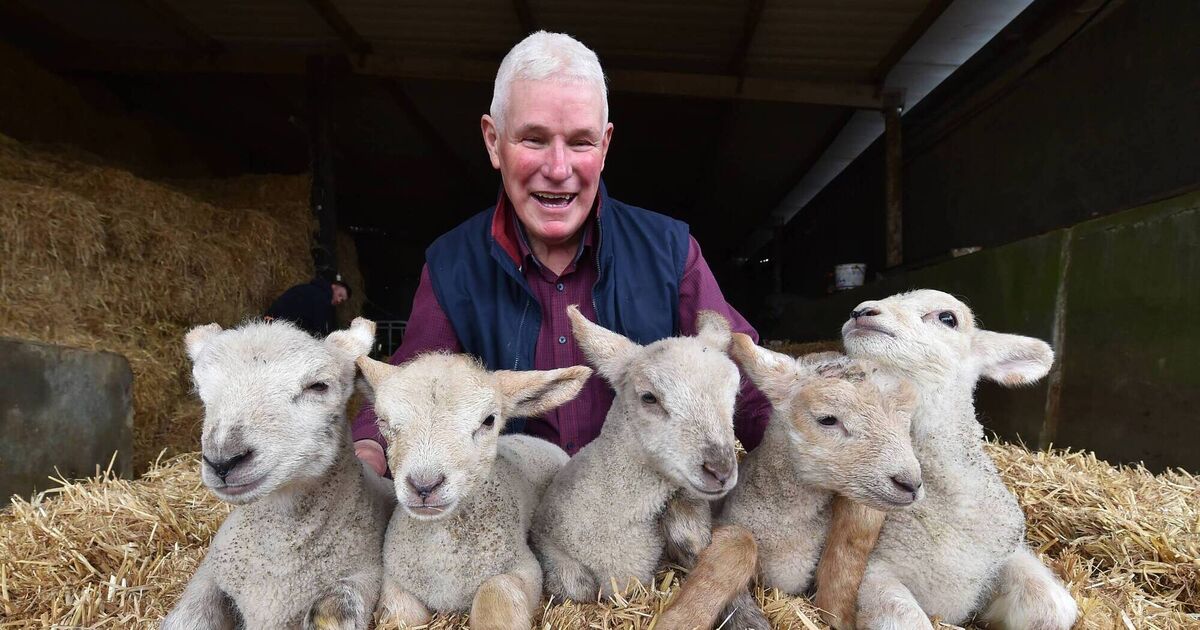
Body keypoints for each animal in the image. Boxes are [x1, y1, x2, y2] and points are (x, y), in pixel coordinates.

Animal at [162, 318, 394, 630]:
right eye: (200, 388)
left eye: (318, 386)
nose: (222, 462)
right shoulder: (209, 574)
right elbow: (188, 617)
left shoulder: (365, 573)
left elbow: (333, 611)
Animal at [355, 352, 592, 629]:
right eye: (383, 421)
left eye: (489, 420)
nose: (424, 486)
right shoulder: (394, 581)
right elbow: (402, 615)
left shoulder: (525, 568)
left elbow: (495, 594)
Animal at [657, 339, 923, 630]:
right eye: (827, 419)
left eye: (906, 422)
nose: (911, 484)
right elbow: (739, 542)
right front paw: (680, 620)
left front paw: (839, 612)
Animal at [841, 289, 1078, 630]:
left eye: (948, 318)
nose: (860, 312)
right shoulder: (872, 569)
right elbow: (909, 620)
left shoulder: (1006, 556)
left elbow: (1050, 609)